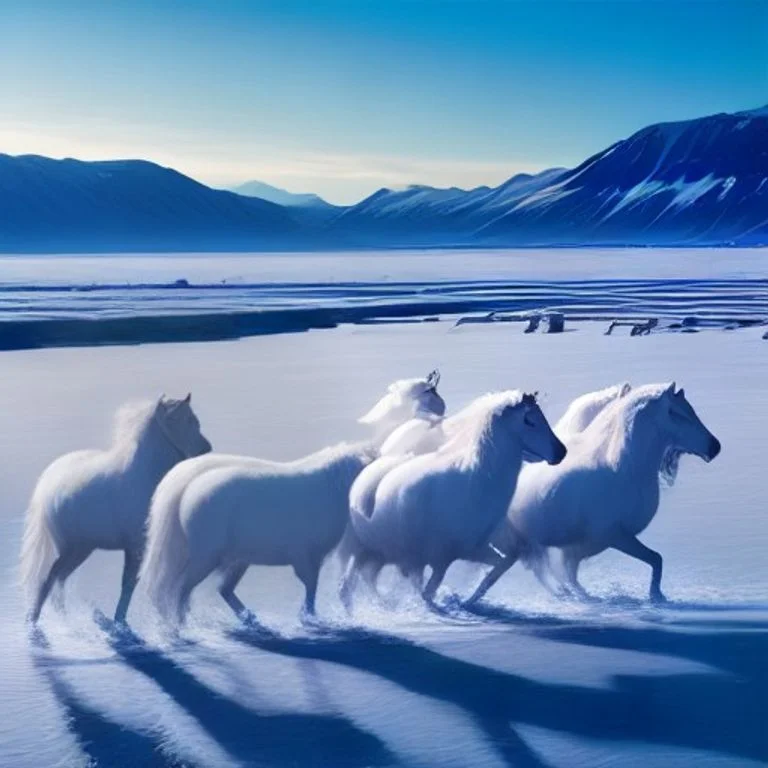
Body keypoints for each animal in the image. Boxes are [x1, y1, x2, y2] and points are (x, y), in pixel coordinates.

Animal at [20, 394, 212, 624]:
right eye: (181, 419)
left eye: (194, 420)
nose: (206, 449)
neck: (145, 475)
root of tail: (47, 486)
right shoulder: (135, 547)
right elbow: (129, 583)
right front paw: (120, 620)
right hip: (72, 549)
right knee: (49, 579)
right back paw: (35, 620)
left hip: (81, 549)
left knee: (59, 579)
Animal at [139, 372, 446, 625]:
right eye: (431, 393)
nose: (439, 415)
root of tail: (188, 490)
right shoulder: (308, 555)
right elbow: (312, 587)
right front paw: (313, 619)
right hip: (206, 556)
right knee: (179, 590)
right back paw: (182, 628)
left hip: (238, 558)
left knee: (220, 590)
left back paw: (247, 618)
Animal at [343, 391, 567, 605]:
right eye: (528, 421)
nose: (561, 452)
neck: (476, 478)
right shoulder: (442, 557)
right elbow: (427, 593)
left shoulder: (474, 548)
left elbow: (501, 566)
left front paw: (469, 599)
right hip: (373, 551)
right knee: (355, 582)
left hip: (379, 554)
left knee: (363, 578)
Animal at [465, 383, 721, 605]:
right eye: (677, 413)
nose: (714, 447)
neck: (625, 470)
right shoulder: (615, 536)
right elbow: (656, 559)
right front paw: (656, 597)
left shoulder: (578, 549)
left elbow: (571, 579)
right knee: (495, 576)